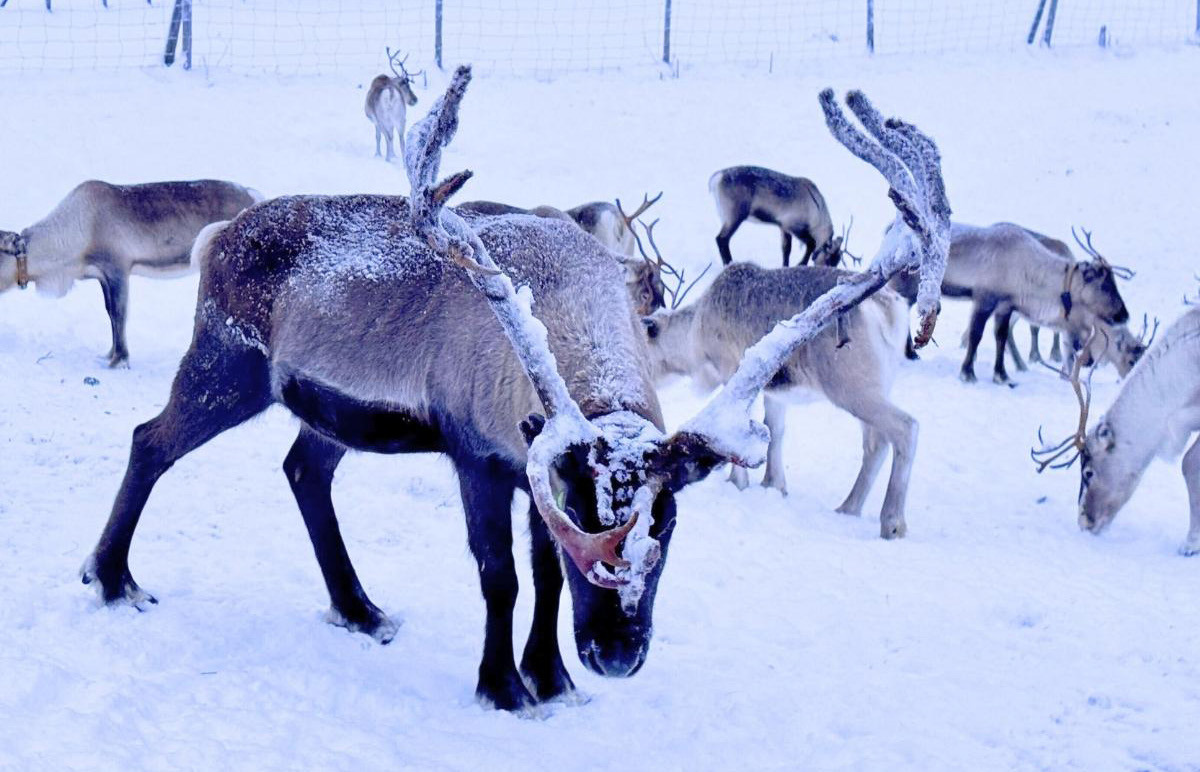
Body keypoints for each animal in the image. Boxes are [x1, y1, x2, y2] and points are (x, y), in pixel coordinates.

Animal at [0, 178, 261, 366]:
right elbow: (110, 313)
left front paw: (119, 360)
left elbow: (119, 314)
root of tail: (256, 196)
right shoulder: (101, 275)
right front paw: (109, 354)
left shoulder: (117, 267)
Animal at [709, 165, 843, 267]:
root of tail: (717, 177)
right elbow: (811, 244)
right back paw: (729, 263)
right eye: (829, 259)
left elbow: (786, 249)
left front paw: (785, 266)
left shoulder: (783, 226)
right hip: (735, 216)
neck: (817, 210)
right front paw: (801, 264)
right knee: (721, 239)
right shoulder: (794, 226)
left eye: (836, 261)